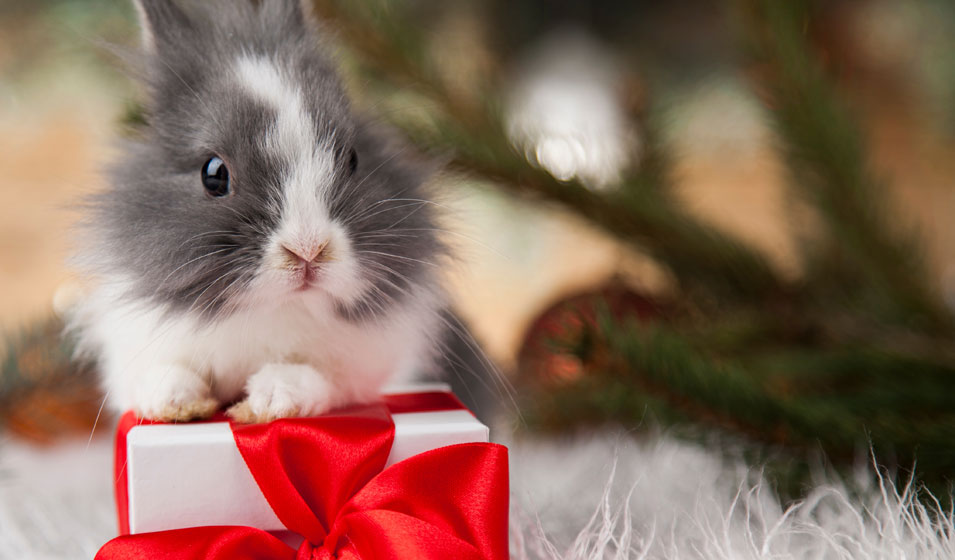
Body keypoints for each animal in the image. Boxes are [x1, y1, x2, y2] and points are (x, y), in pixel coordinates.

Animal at [69, 0, 494, 423]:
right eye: (213, 173)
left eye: (353, 158)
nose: (308, 249)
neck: (273, 311)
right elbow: (160, 373)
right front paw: (174, 402)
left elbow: (321, 380)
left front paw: (273, 398)